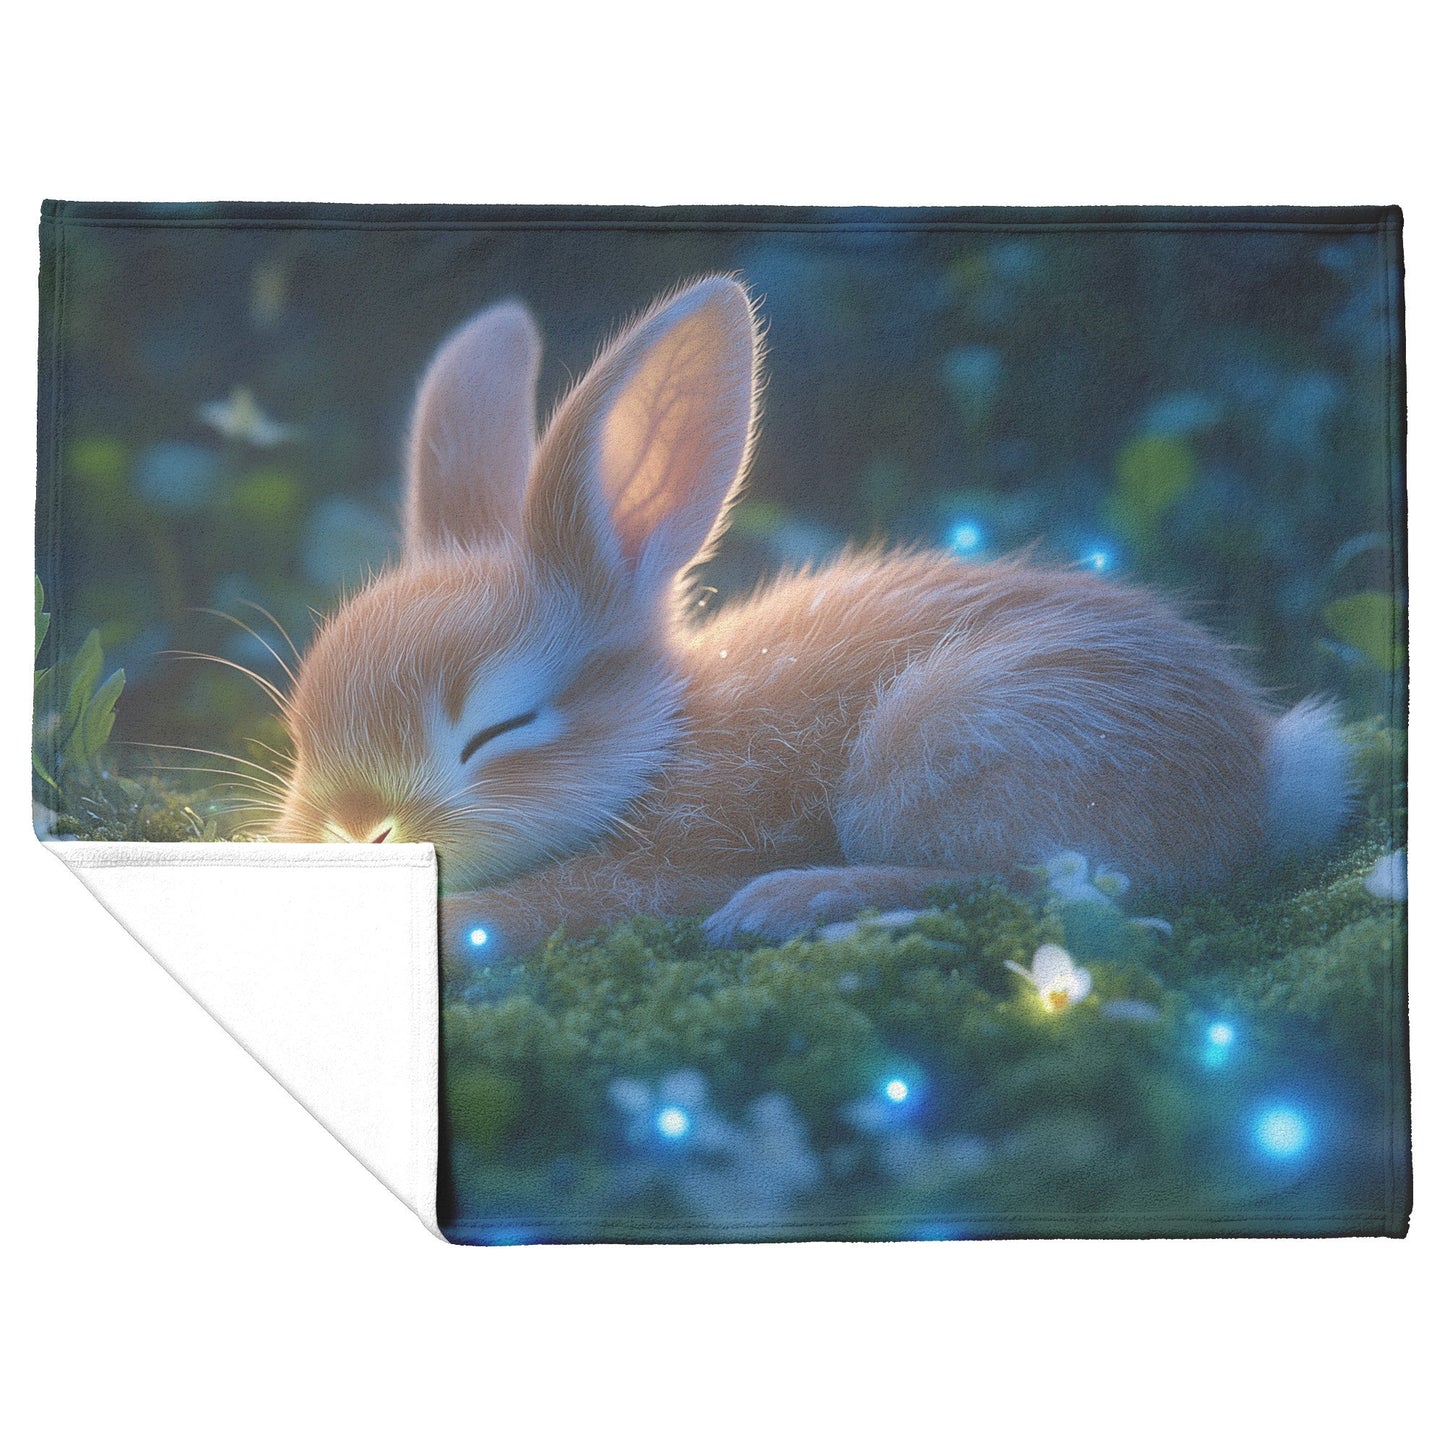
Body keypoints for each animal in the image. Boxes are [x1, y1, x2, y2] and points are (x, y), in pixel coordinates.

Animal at [273, 275, 1352, 957]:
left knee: (1069, 886)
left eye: (500, 727)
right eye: (296, 730)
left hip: (945, 746)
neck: (662, 746)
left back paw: (794, 903)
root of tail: (1264, 771)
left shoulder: (677, 851)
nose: (353, 828)